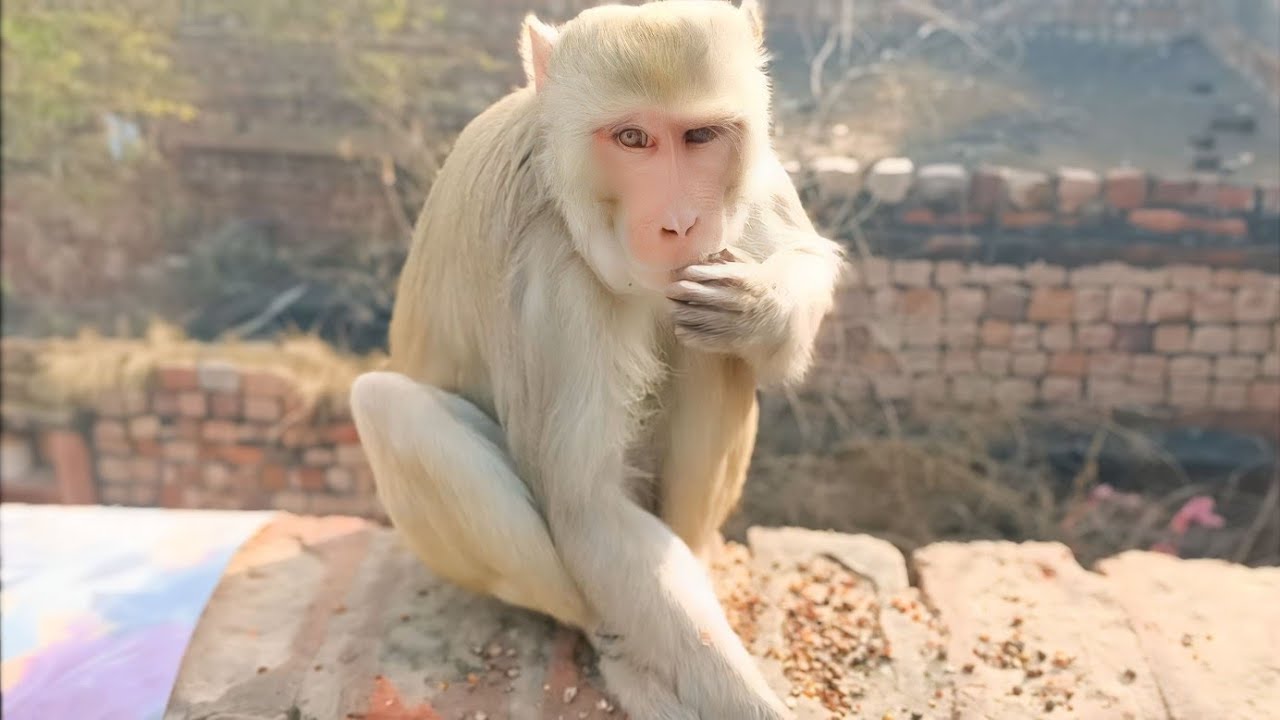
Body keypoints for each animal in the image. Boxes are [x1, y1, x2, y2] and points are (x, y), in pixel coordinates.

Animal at [349, 2, 844, 718]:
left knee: (712, 351)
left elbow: (804, 262)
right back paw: (613, 643)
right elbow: (588, 509)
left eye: (700, 135)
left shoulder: (756, 180)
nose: (679, 222)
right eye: (632, 138)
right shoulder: (549, 278)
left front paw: (764, 308)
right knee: (386, 407)